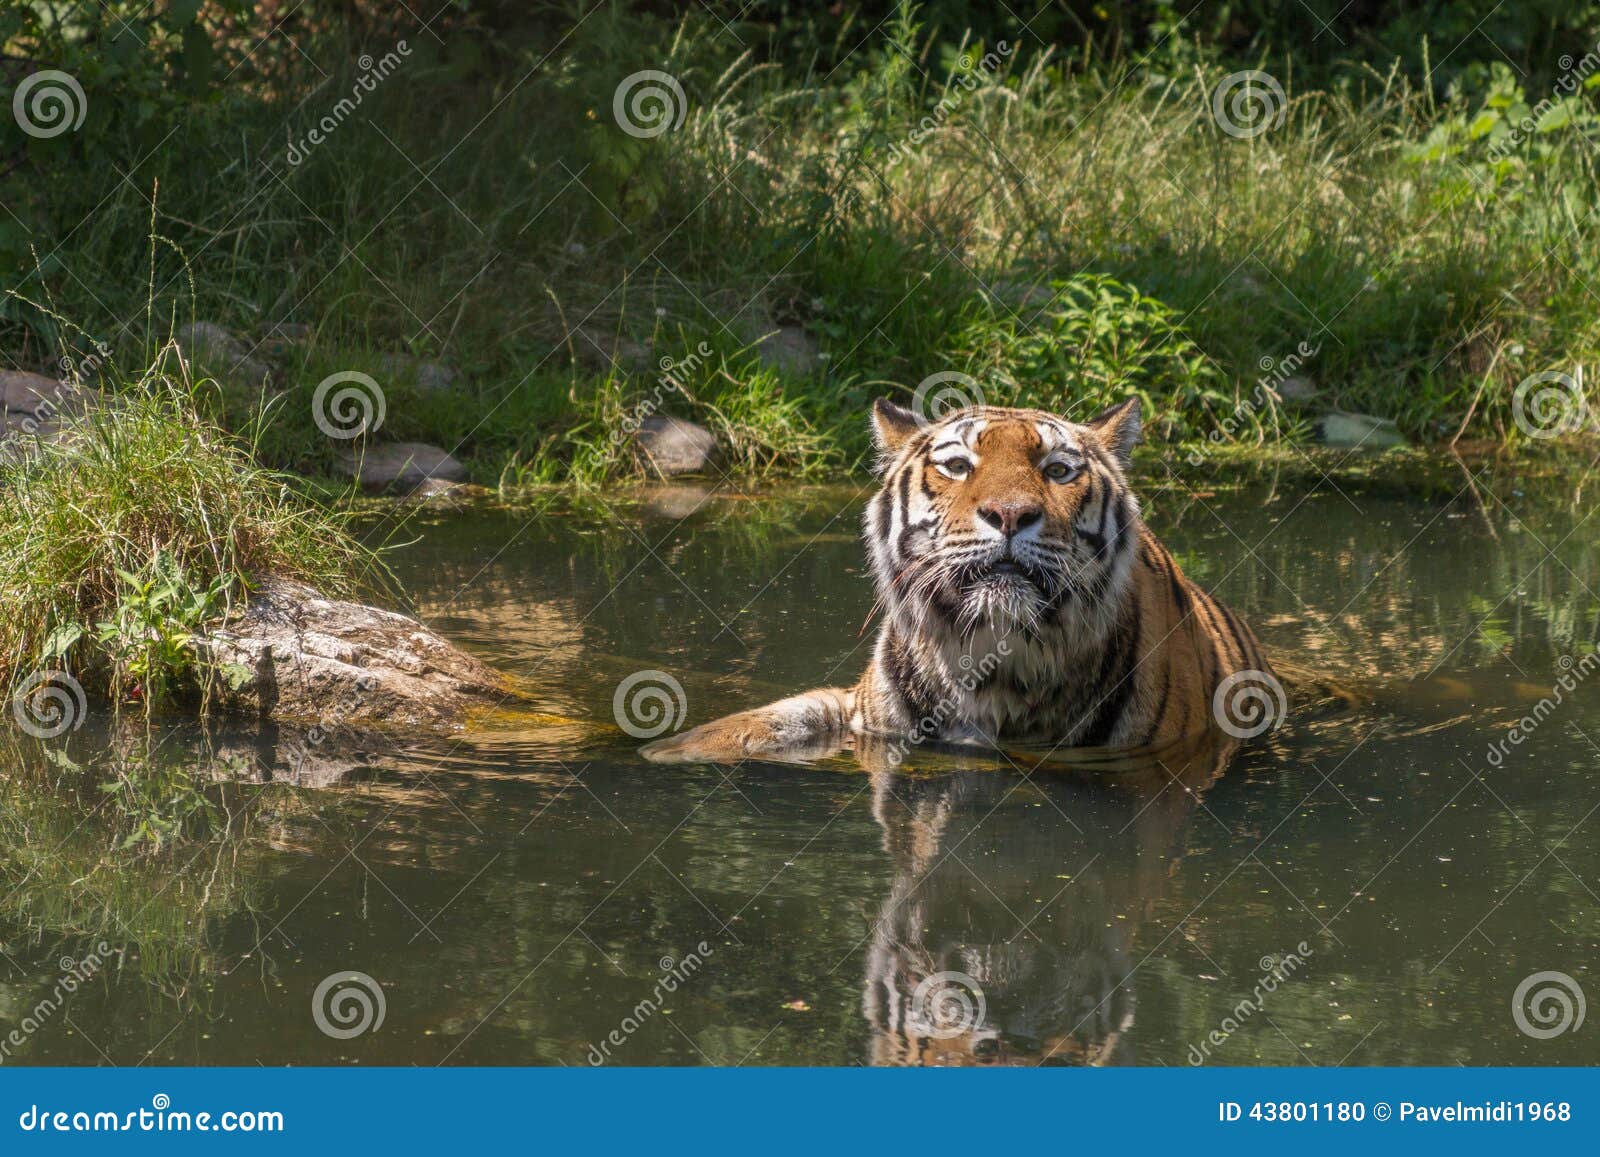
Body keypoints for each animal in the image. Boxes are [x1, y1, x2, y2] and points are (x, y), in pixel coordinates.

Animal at [641, 396, 1275, 764]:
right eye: (957, 466)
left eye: (1058, 470)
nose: (1010, 514)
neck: (998, 656)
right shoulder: (860, 714)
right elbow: (771, 721)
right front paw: (665, 750)